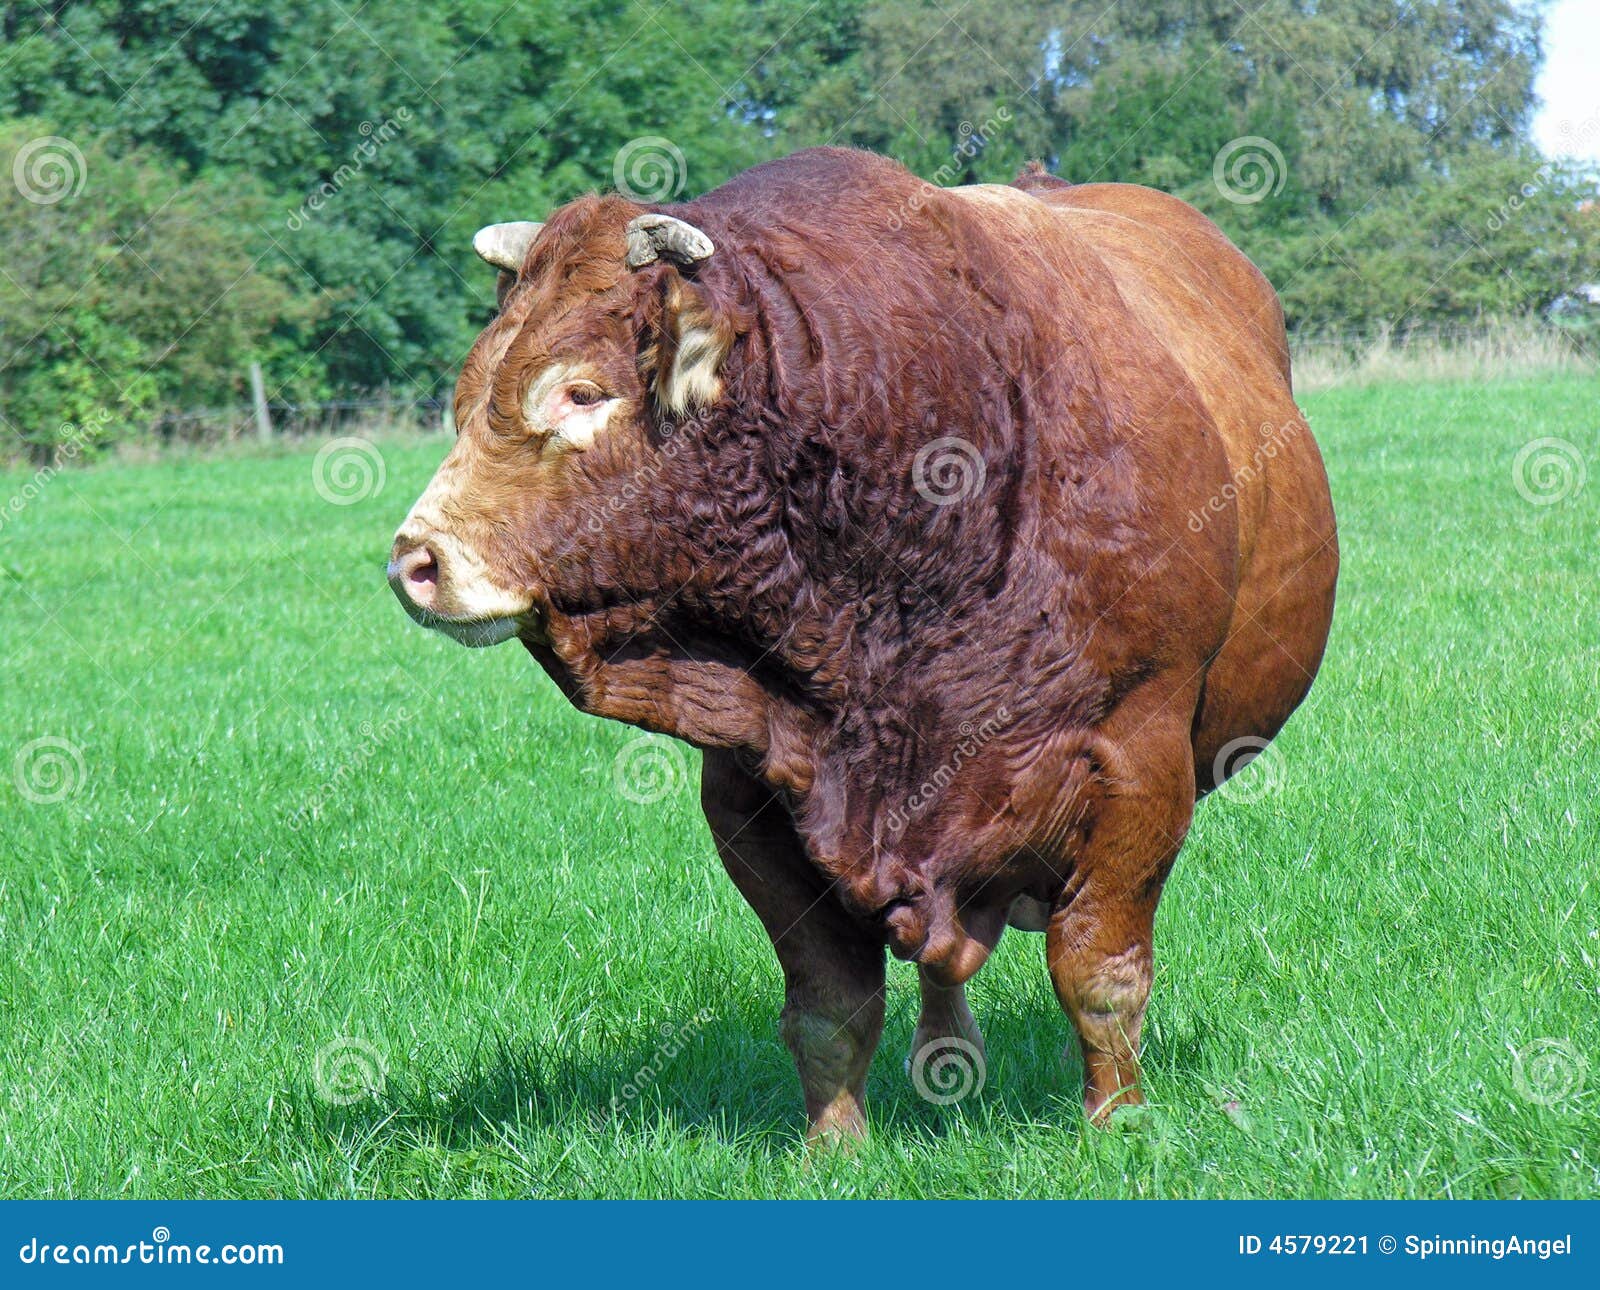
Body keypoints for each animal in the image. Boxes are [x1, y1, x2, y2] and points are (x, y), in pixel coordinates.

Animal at [388, 147, 1338, 1142]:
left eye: (580, 391)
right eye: (467, 394)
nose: (416, 561)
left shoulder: (1138, 761)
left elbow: (1100, 976)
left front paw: (1115, 1128)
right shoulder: (754, 788)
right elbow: (828, 1004)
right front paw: (833, 1150)